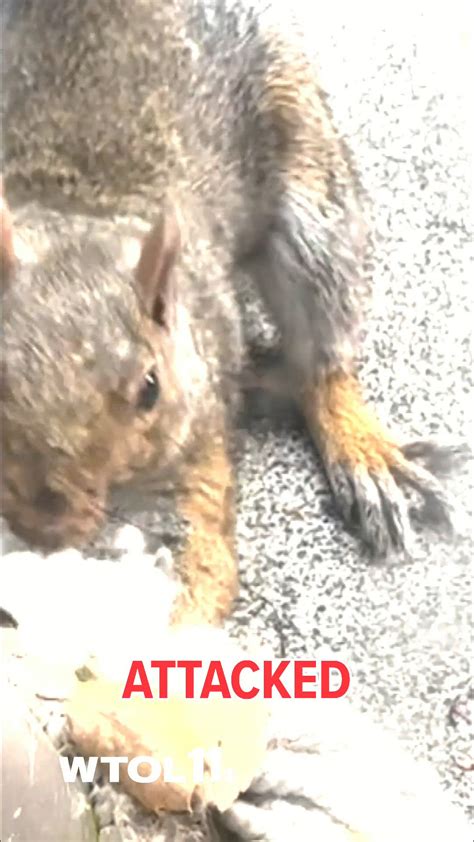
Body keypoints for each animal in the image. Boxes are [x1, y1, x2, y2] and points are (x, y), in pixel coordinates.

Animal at [0, 0, 461, 625]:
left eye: (151, 388)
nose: (47, 530)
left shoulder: (200, 428)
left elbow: (204, 553)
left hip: (312, 191)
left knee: (322, 357)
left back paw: (360, 446)